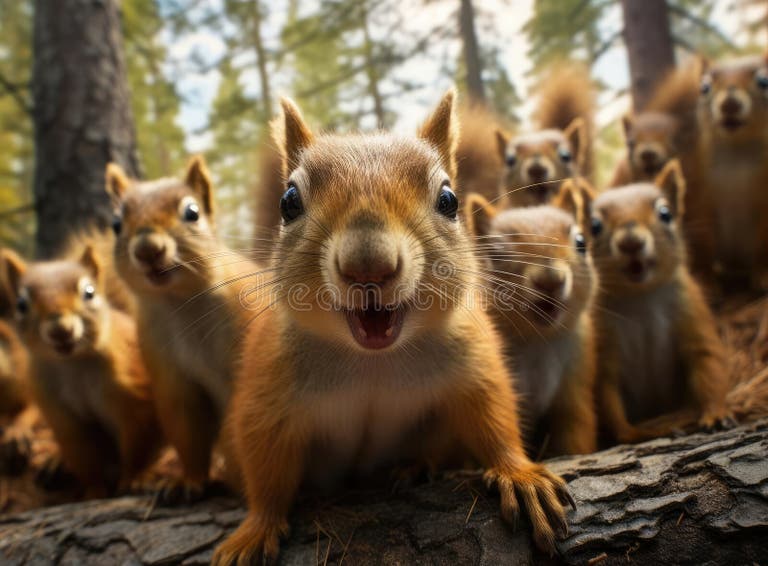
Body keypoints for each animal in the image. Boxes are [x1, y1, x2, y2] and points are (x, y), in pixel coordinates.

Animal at [0, 246, 161, 496]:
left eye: (89, 293)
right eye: (21, 304)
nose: (60, 330)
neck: (73, 365)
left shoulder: (135, 399)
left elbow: (139, 446)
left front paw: (136, 479)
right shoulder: (59, 412)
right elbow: (86, 460)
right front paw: (95, 492)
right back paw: (57, 462)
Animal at [105, 156, 258, 500]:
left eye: (192, 212)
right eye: (116, 224)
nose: (148, 249)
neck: (180, 303)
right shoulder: (169, 371)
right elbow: (186, 429)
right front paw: (187, 481)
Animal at [212, 92, 573, 564]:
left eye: (449, 200)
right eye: (288, 201)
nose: (369, 265)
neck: (373, 361)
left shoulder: (473, 360)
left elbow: (493, 416)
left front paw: (520, 475)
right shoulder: (268, 384)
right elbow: (264, 462)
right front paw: (256, 528)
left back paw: (414, 466)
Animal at [464, 179, 598, 457]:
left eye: (581, 242)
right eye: (495, 254)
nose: (550, 280)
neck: (537, 339)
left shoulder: (577, 376)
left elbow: (575, 425)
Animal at [590, 159, 731, 445]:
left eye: (665, 213)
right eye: (594, 226)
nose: (631, 242)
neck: (640, 296)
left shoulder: (692, 312)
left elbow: (708, 362)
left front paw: (716, 414)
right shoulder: (603, 341)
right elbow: (607, 394)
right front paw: (635, 433)